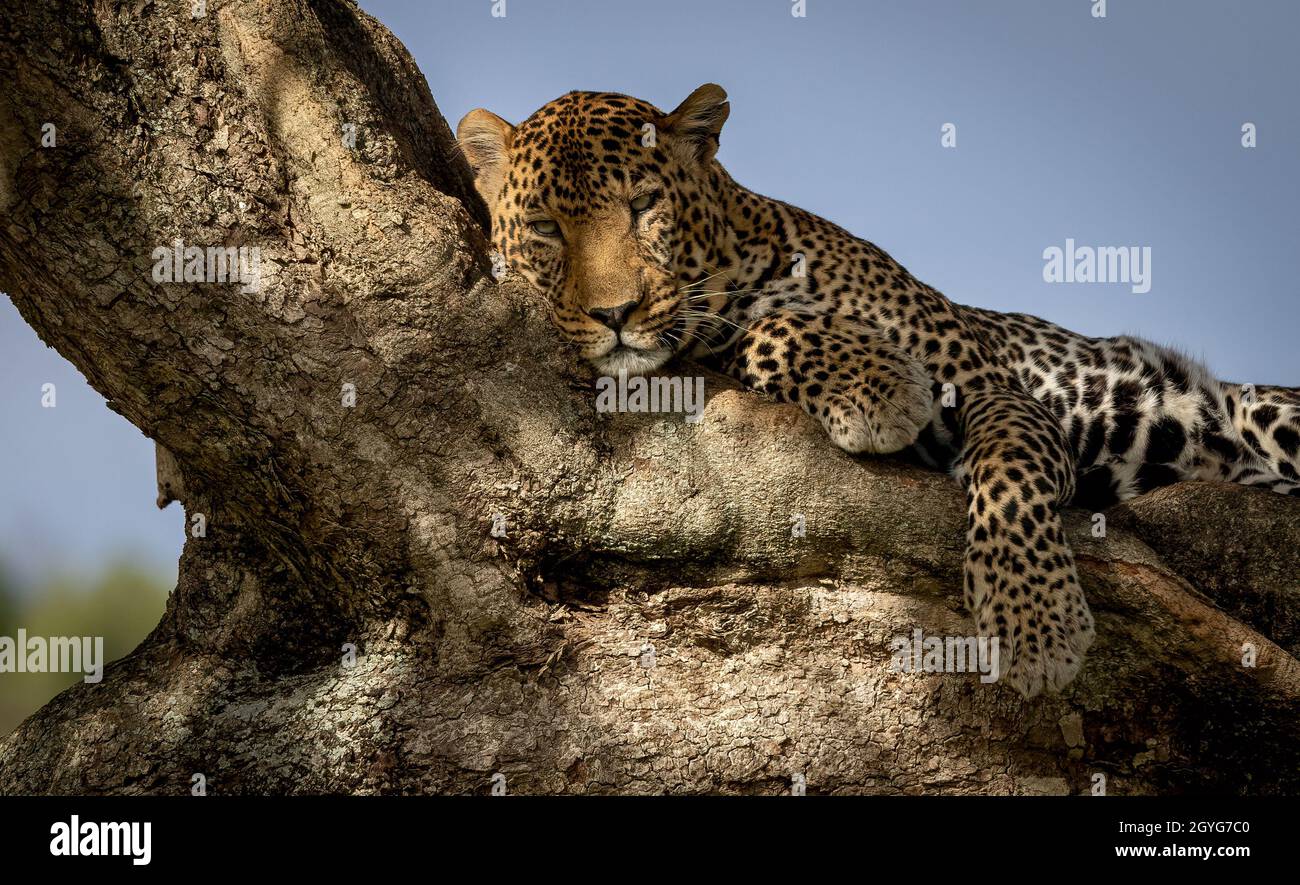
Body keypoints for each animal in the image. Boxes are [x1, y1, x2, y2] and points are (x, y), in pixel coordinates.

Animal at [457, 84, 1300, 698]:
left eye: (643, 206)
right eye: (546, 228)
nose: (615, 313)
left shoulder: (997, 387)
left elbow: (1010, 479)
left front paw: (1036, 621)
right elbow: (763, 336)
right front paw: (878, 383)